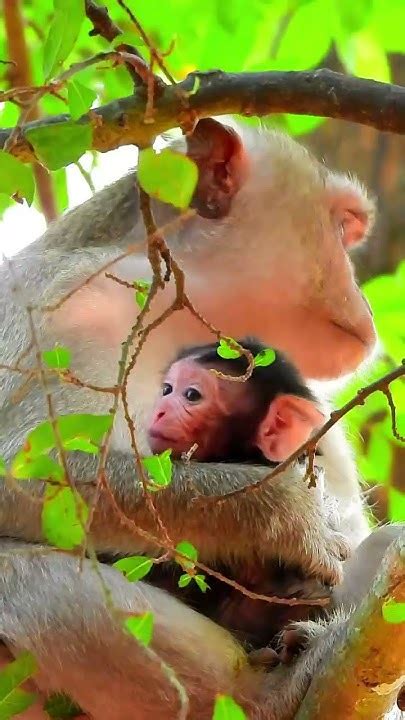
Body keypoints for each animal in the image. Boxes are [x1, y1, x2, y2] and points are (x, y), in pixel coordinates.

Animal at [1, 115, 402, 718]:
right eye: (342, 227)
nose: (365, 298)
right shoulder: (54, 312)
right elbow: (20, 473)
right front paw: (284, 514)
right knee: (18, 575)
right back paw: (263, 694)